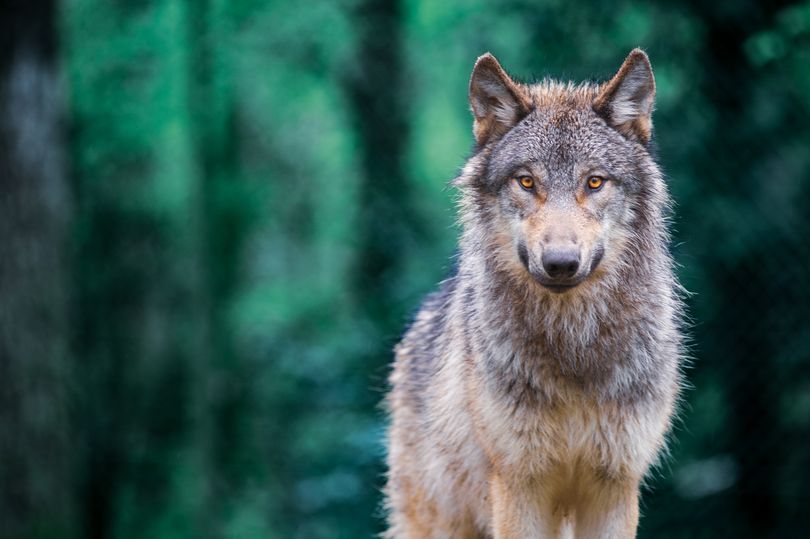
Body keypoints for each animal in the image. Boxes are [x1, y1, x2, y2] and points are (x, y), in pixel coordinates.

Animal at [384, 49, 683, 539]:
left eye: (594, 182)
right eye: (526, 182)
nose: (560, 262)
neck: (573, 348)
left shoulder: (614, 485)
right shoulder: (520, 484)